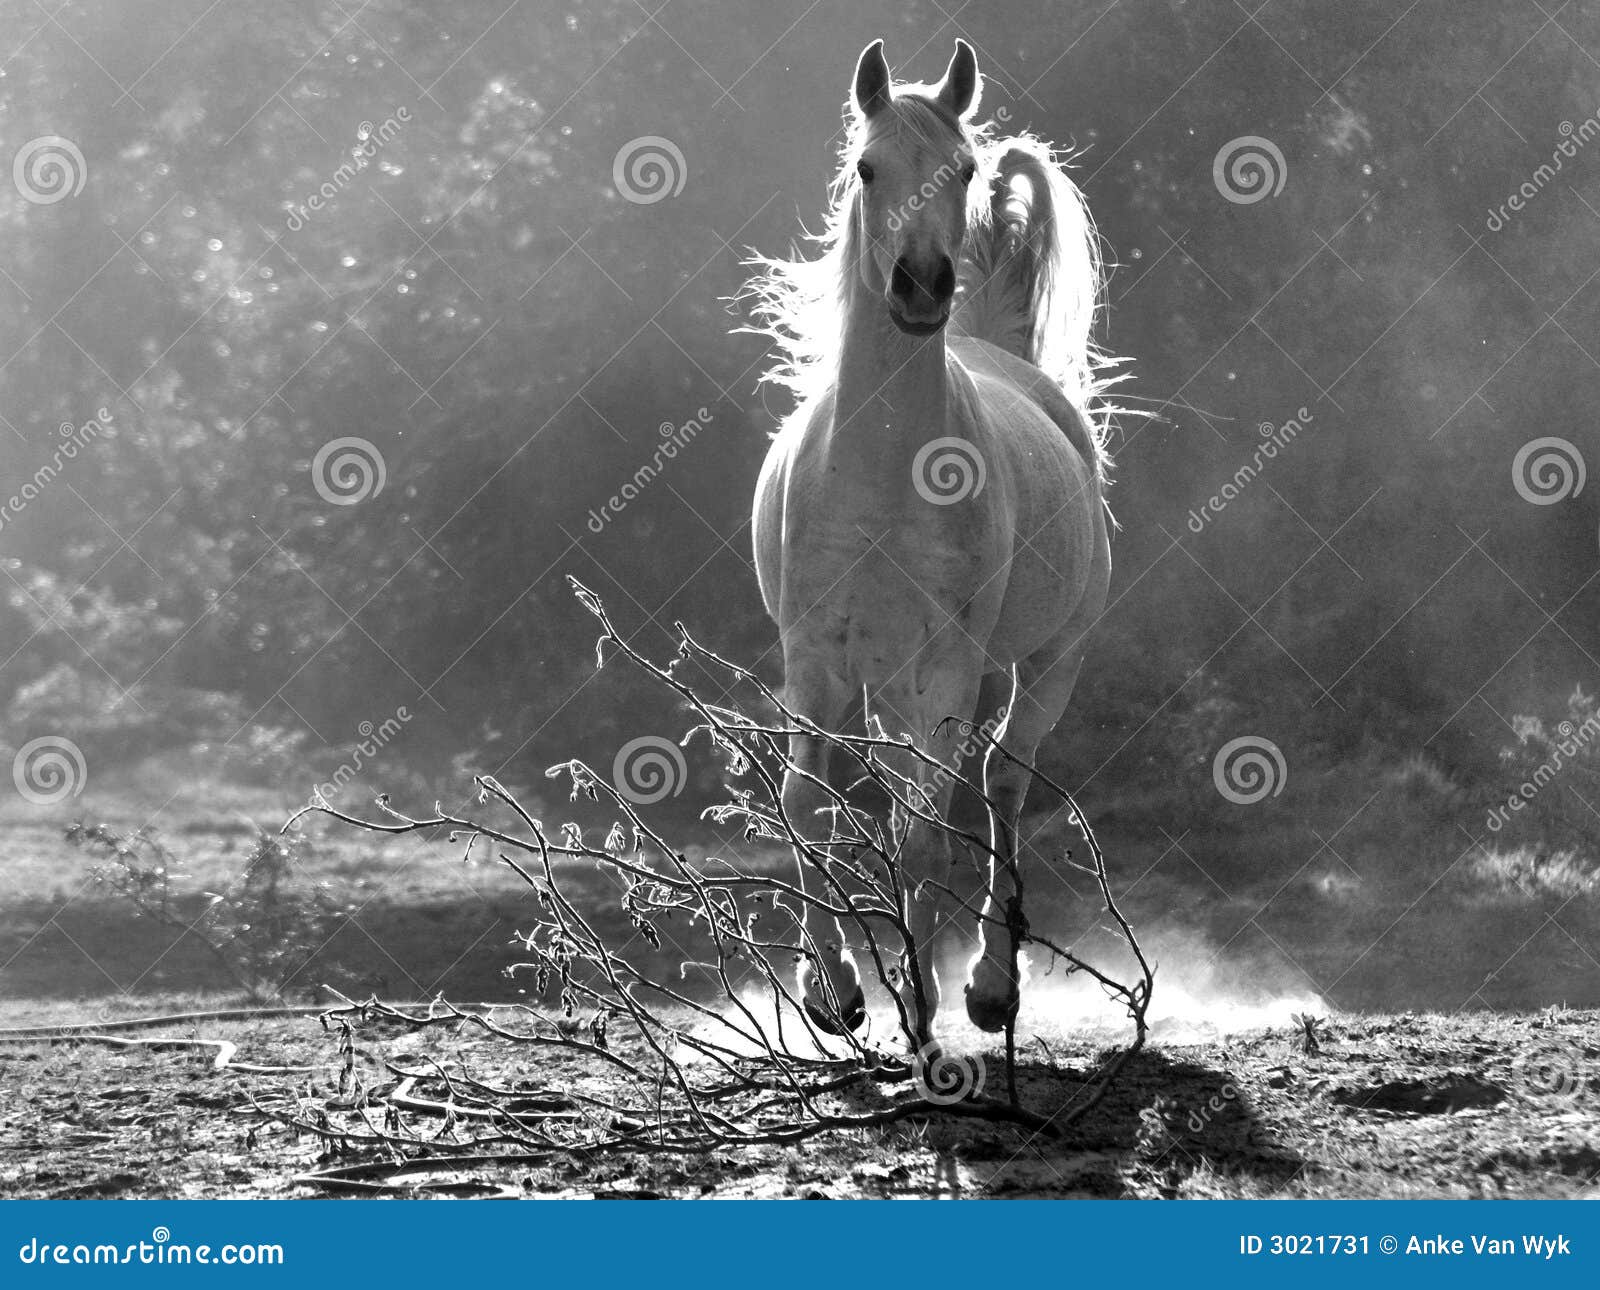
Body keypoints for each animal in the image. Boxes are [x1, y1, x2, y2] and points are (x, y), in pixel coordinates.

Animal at [748, 38, 1115, 1050]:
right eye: (868, 169)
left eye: (964, 171)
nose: (920, 287)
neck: (884, 474)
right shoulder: (816, 660)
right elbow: (807, 804)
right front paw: (832, 989)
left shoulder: (945, 672)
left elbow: (922, 833)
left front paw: (916, 1003)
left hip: (1049, 663)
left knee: (1000, 785)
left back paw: (990, 986)